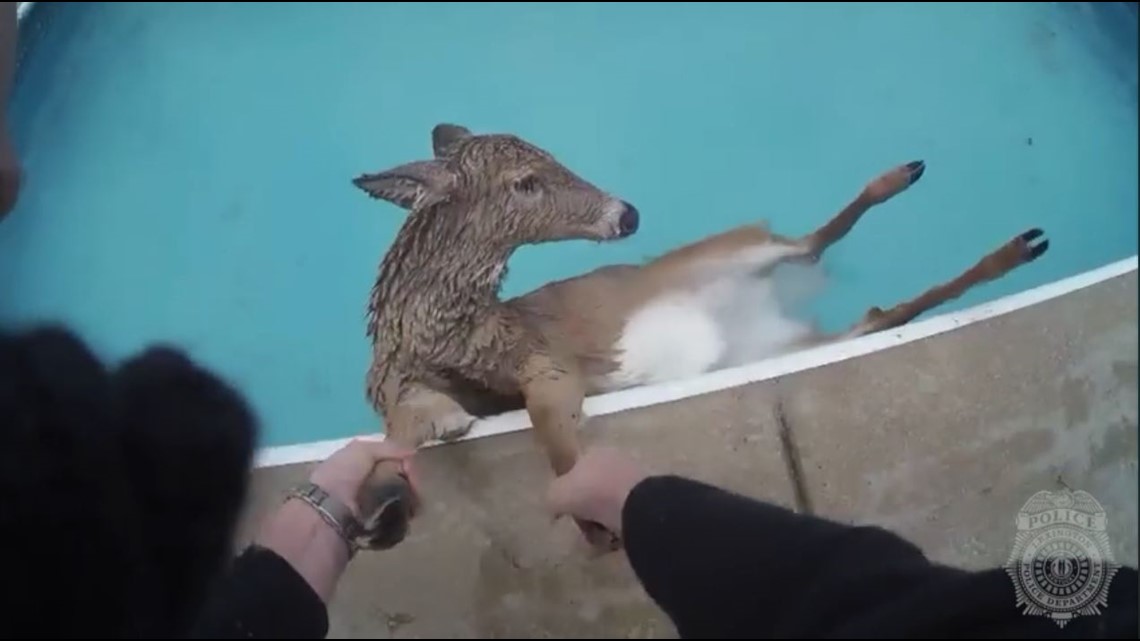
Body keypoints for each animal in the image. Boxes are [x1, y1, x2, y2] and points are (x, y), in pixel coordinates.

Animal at [347, 123, 1049, 554]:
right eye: (525, 182)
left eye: (545, 154)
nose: (627, 214)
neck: (449, 337)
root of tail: (770, 315)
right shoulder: (414, 389)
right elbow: (401, 430)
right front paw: (394, 493)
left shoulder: (543, 357)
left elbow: (554, 430)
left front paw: (593, 522)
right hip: (791, 330)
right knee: (874, 306)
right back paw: (1010, 243)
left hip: (734, 247)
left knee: (810, 244)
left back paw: (933, 191)